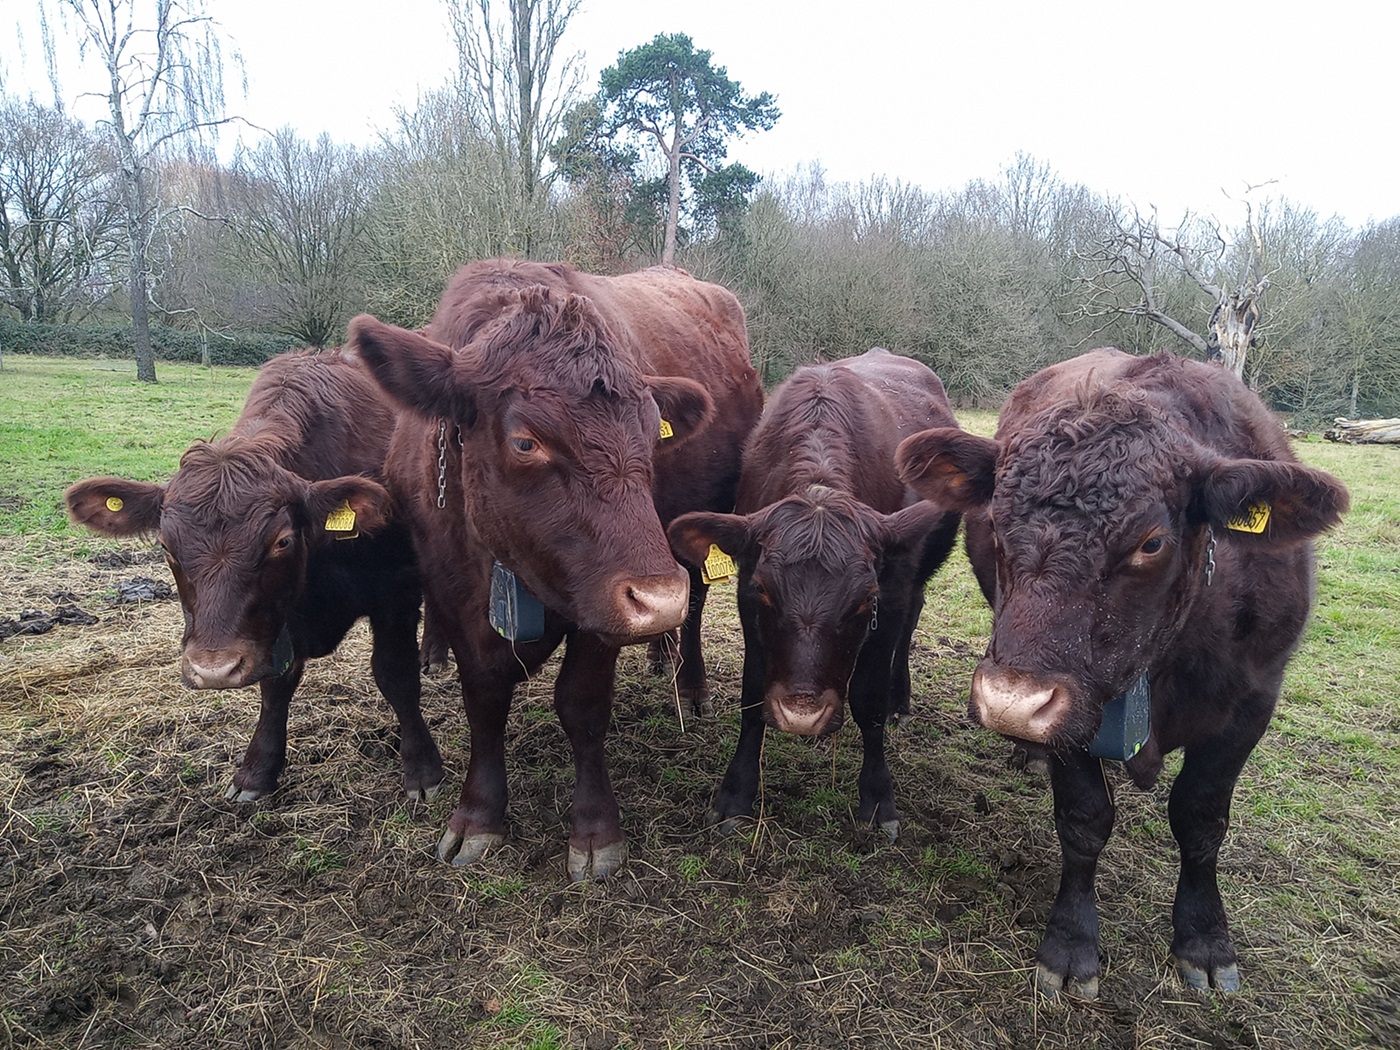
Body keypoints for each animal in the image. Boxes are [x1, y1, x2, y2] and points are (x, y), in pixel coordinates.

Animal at [65, 349, 445, 804]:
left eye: (281, 541)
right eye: (166, 546)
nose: (213, 670)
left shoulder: (395, 591)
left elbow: (395, 675)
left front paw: (422, 769)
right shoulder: (272, 624)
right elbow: (275, 685)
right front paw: (257, 771)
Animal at [346, 259, 763, 880]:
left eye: (651, 436)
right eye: (525, 442)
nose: (658, 597)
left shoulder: (600, 607)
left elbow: (582, 705)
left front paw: (595, 832)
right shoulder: (450, 593)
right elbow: (483, 702)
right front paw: (477, 818)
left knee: (696, 603)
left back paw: (688, 685)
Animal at [668, 348, 961, 842]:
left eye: (865, 599)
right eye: (765, 591)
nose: (801, 714)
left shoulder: (891, 594)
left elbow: (869, 698)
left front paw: (878, 799)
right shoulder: (748, 603)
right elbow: (753, 694)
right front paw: (736, 795)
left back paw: (901, 699)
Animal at [895, 348, 1348, 998]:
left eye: (1151, 542)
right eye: (996, 522)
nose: (1011, 701)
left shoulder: (1250, 704)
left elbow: (1201, 818)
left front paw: (1205, 940)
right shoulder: (1076, 708)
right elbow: (1084, 821)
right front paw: (1070, 943)